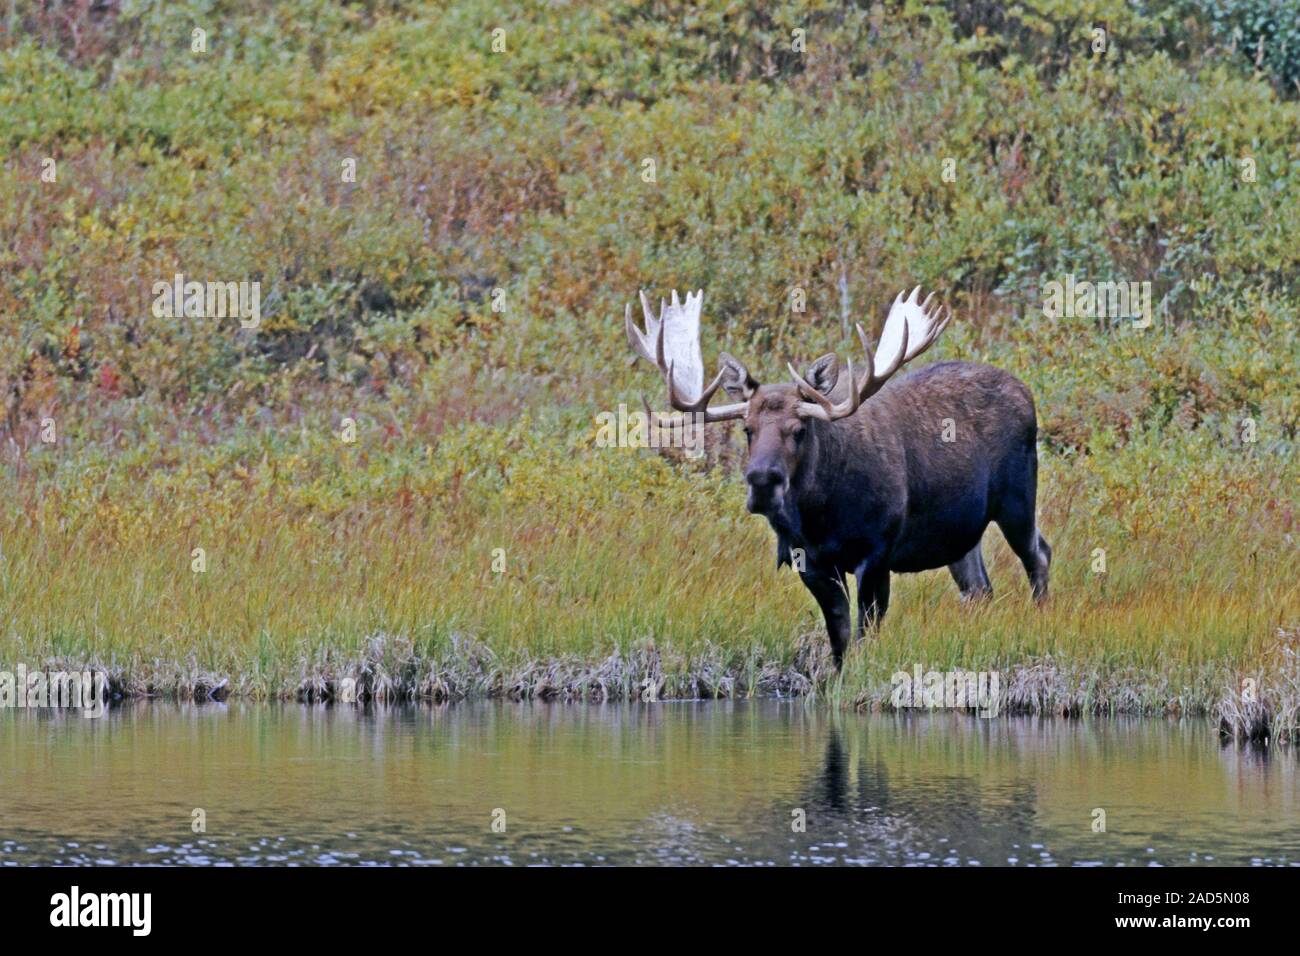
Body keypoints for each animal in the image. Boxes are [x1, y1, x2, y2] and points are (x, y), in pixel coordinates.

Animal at [625, 287, 1051, 669]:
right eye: (747, 428)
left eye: (799, 429)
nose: (762, 482)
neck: (822, 516)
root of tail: (1026, 391)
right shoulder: (809, 562)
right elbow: (839, 639)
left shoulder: (877, 552)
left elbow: (865, 634)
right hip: (961, 534)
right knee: (980, 588)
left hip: (1017, 499)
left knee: (1038, 553)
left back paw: (1041, 617)